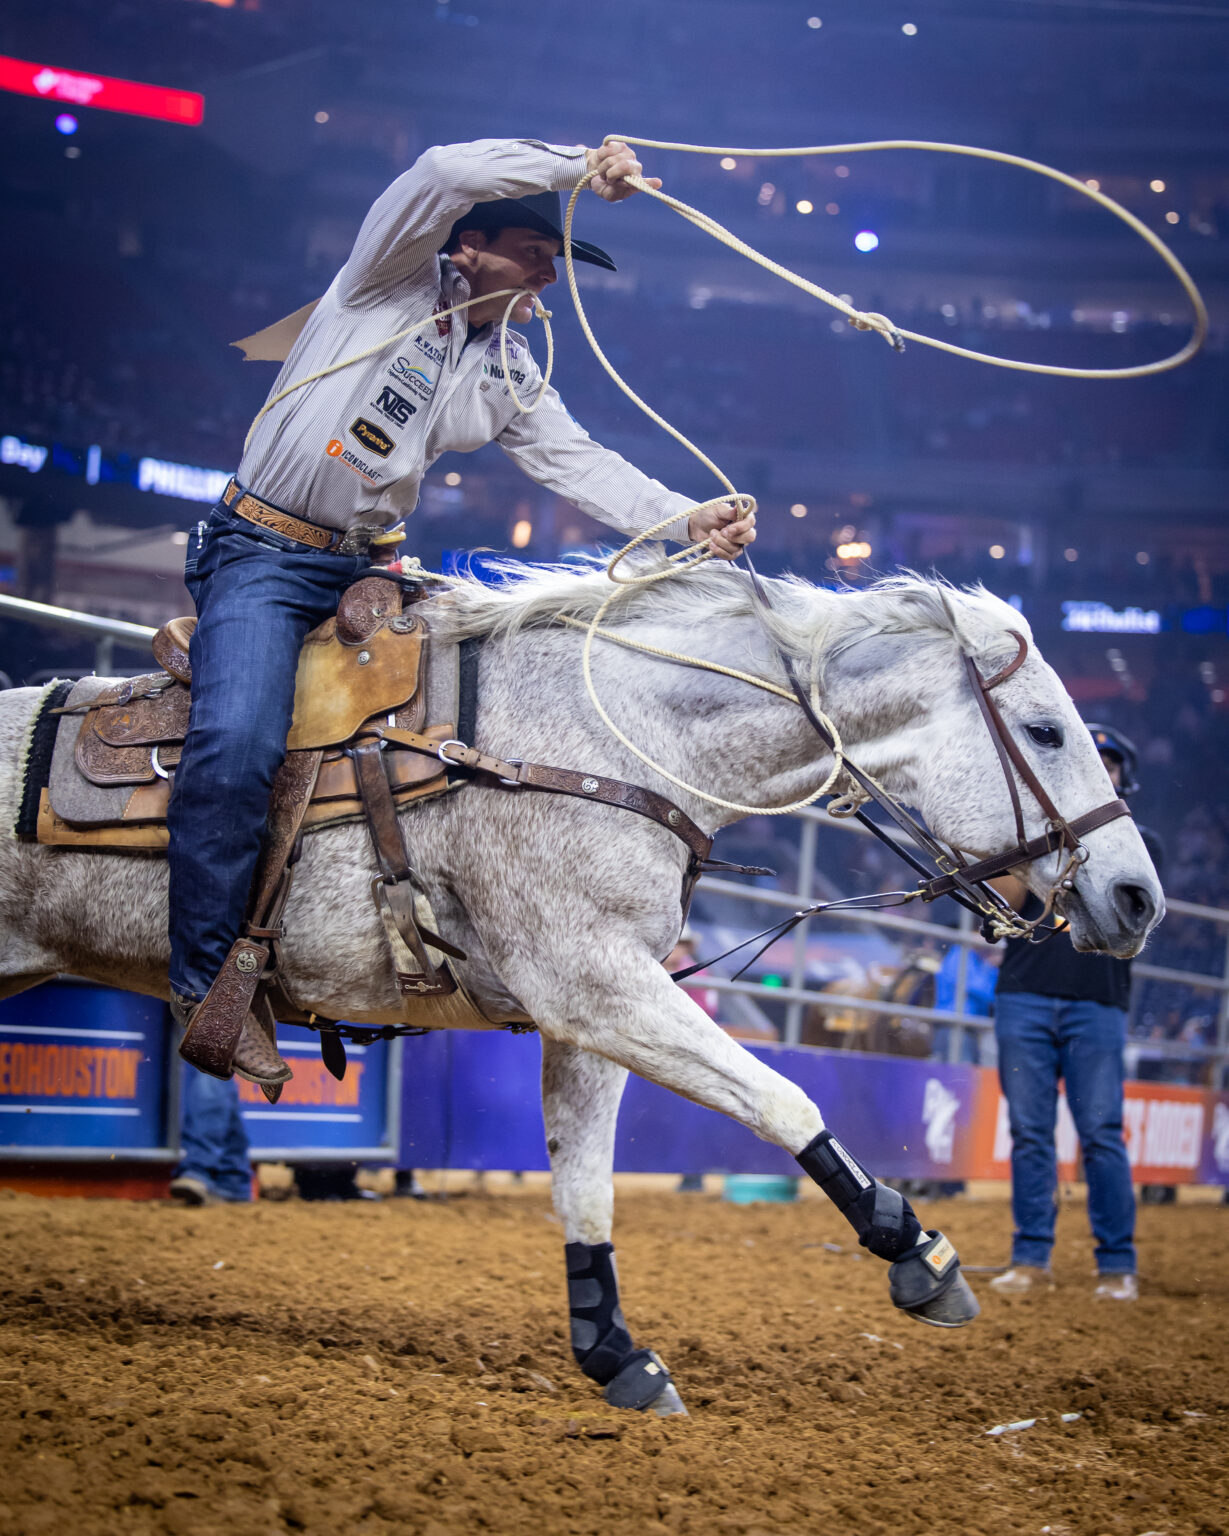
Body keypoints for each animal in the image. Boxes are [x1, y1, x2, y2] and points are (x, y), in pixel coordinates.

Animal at [0, 565, 1163, 1415]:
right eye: (1046, 730)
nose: (1137, 896)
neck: (613, 740)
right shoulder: (596, 983)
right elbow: (780, 1096)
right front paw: (915, 1250)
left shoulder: (590, 1013)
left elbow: (585, 1182)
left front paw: (611, 1351)